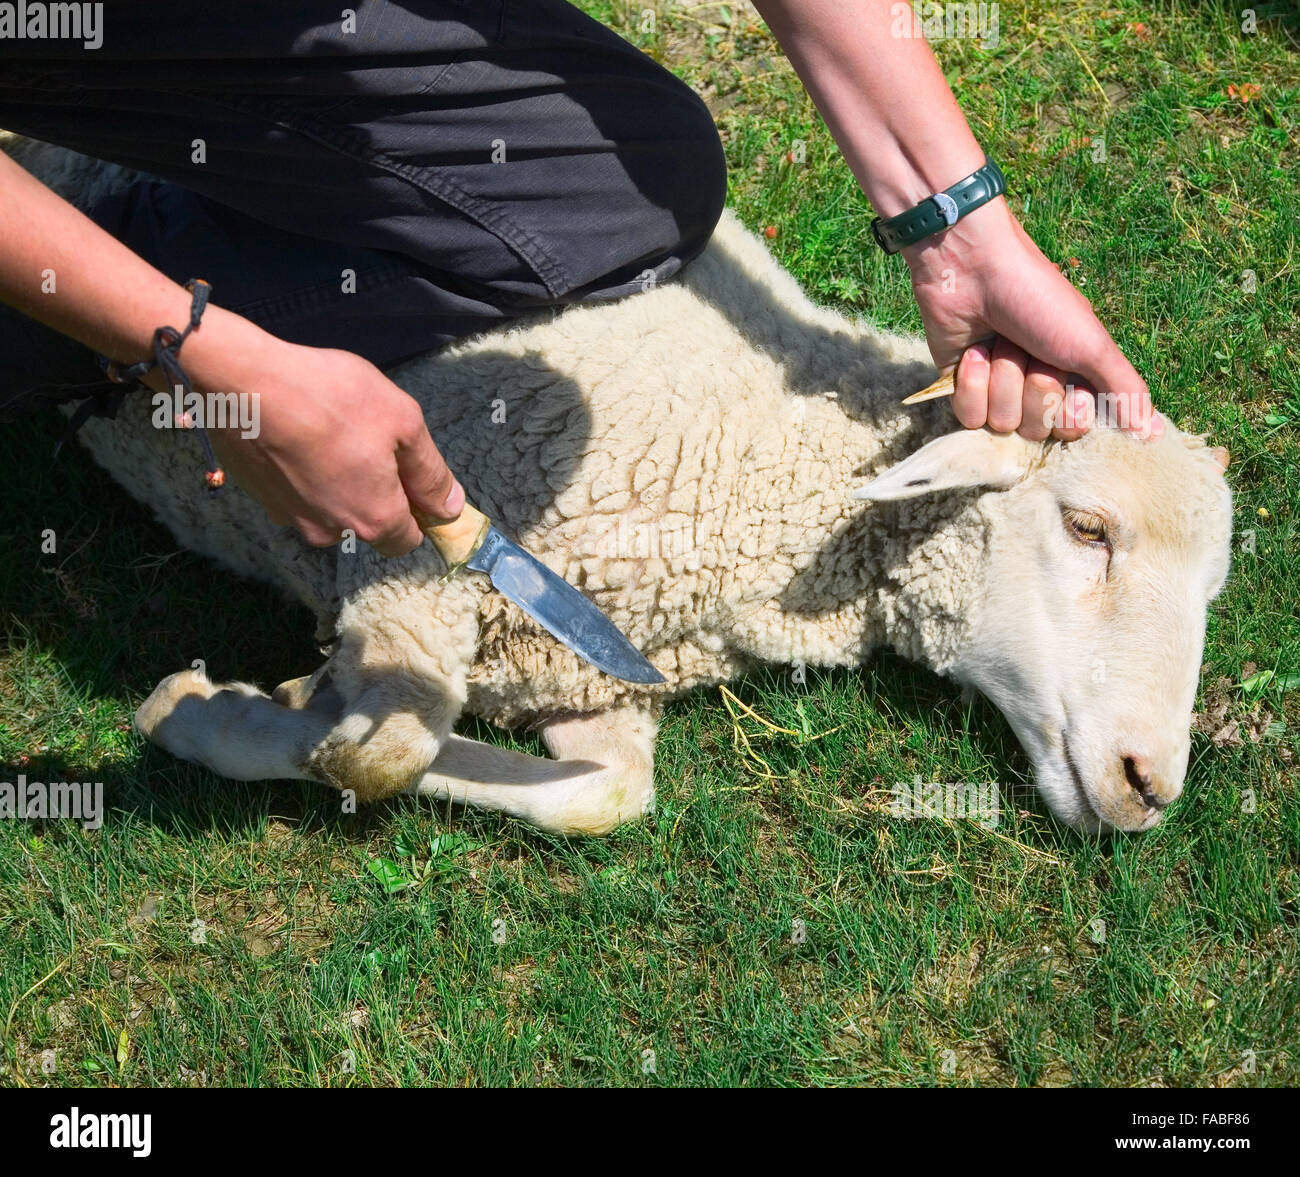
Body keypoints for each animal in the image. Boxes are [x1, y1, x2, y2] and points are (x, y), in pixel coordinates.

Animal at [5, 136, 1234, 836]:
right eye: (1086, 526)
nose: (1152, 786)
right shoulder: (408, 555)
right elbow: (382, 749)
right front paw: (217, 714)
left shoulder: (592, 674)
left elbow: (600, 799)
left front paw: (280, 704)